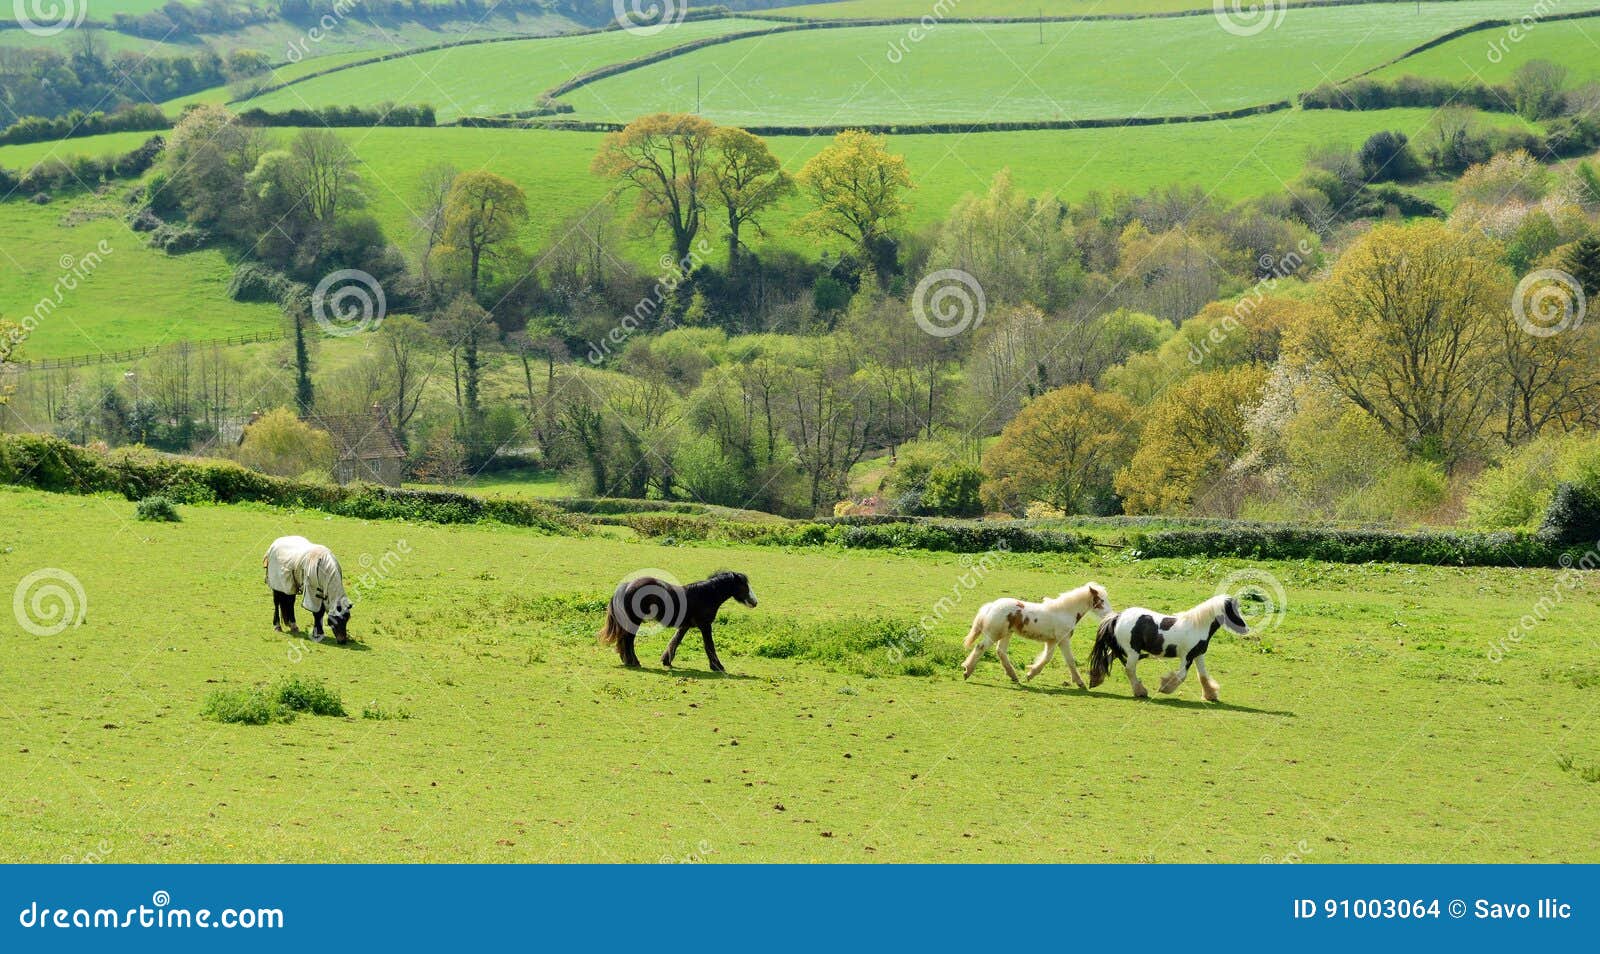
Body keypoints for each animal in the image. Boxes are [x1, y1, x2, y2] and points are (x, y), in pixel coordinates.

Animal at [597, 571, 758, 672]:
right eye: (744, 585)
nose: (754, 602)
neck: (705, 595)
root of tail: (627, 585)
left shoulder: (685, 626)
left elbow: (675, 641)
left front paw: (666, 660)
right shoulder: (705, 625)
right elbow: (709, 646)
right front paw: (717, 666)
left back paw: (628, 661)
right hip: (635, 621)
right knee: (628, 640)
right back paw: (634, 662)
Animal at [961, 582, 1112, 688]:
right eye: (1101, 600)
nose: (1109, 614)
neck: (1065, 611)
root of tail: (991, 606)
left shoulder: (1052, 641)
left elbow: (1046, 658)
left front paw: (1030, 674)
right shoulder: (1063, 639)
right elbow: (1070, 660)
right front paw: (1080, 683)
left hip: (1006, 633)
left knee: (1000, 651)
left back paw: (1013, 676)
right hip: (995, 633)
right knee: (981, 647)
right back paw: (967, 671)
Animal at [1088, 594, 1249, 701]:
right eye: (1233, 610)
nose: (1246, 629)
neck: (1198, 626)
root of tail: (1118, 616)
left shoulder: (1198, 655)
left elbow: (1203, 676)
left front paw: (1211, 695)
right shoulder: (1187, 657)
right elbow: (1181, 676)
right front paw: (1165, 688)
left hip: (1122, 649)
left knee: (1107, 658)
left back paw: (1096, 680)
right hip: (1133, 652)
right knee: (1129, 669)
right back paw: (1140, 692)